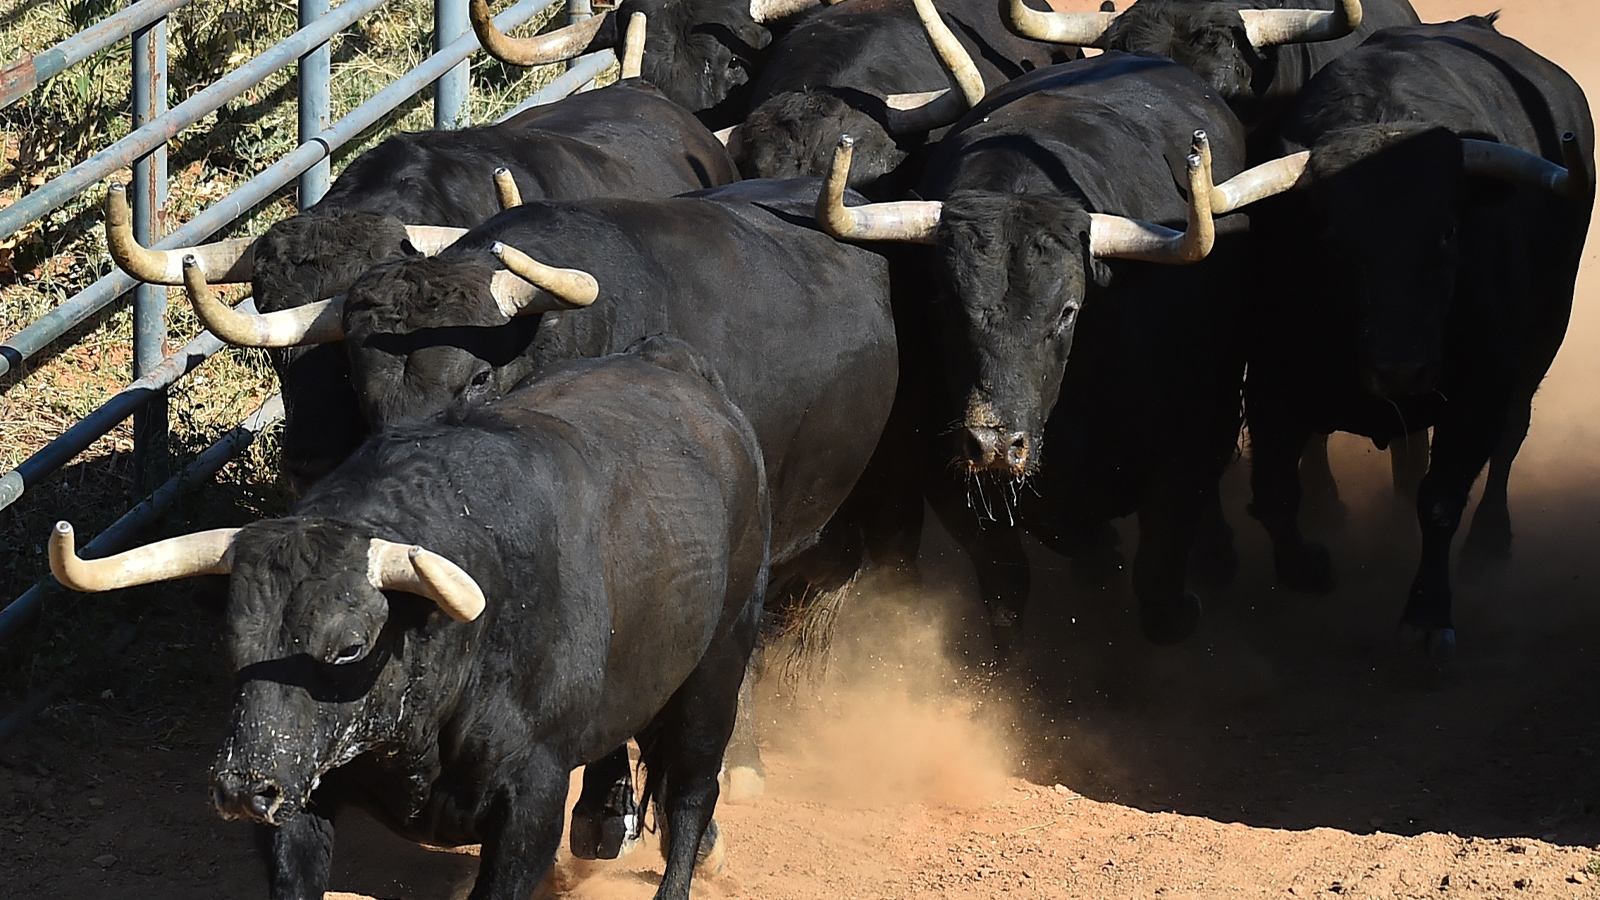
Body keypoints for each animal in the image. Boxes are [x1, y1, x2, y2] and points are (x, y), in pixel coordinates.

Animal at [48, 332, 770, 900]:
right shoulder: (302, 794)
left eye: (348, 647)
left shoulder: (531, 801)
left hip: (717, 666)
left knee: (691, 794)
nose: (242, 790)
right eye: (231, 641)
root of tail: (671, 361)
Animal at [815, 53, 1297, 649]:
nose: (996, 444)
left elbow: (1160, 589)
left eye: (1068, 310)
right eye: (945, 301)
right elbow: (1006, 592)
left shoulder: (1189, 448)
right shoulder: (948, 484)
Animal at [1220, 16, 1593, 657]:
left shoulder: (1480, 388)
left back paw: (1490, 542)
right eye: (1334, 239)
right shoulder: (1273, 378)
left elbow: (1441, 498)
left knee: (1510, 438)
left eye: (1447, 233)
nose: (1401, 370)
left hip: (1549, 326)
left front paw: (1427, 614)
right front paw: (1310, 567)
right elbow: (1273, 490)